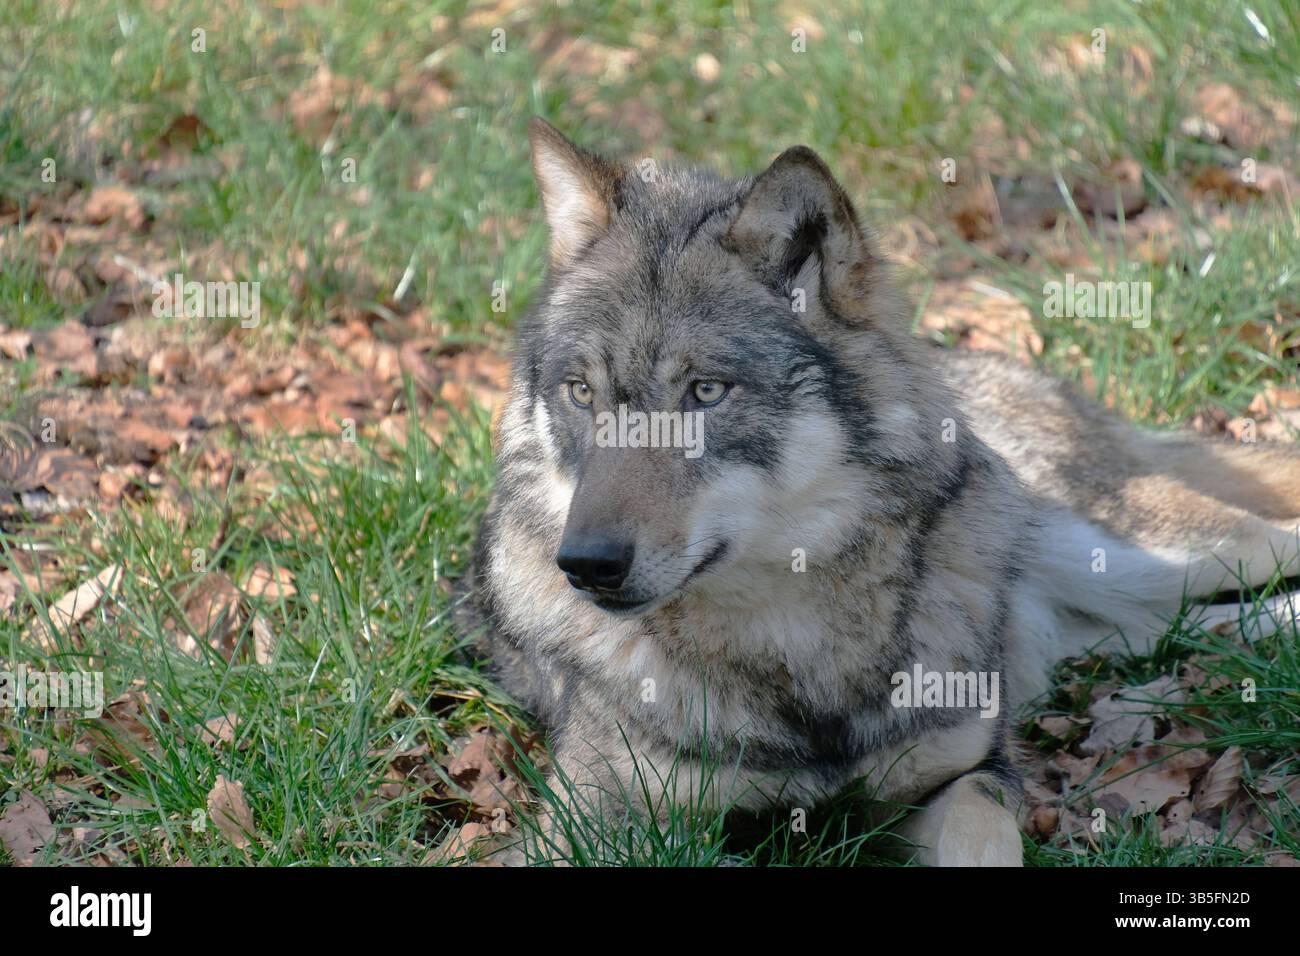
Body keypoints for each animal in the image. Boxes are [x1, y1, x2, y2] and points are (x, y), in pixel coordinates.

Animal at [461, 118, 1300, 865]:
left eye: (705, 392)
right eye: (580, 393)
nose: (587, 563)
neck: (792, 646)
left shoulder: (969, 775)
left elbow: (985, 842)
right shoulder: (586, 826)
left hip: (1168, 551)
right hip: (1118, 615)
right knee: (1196, 626)